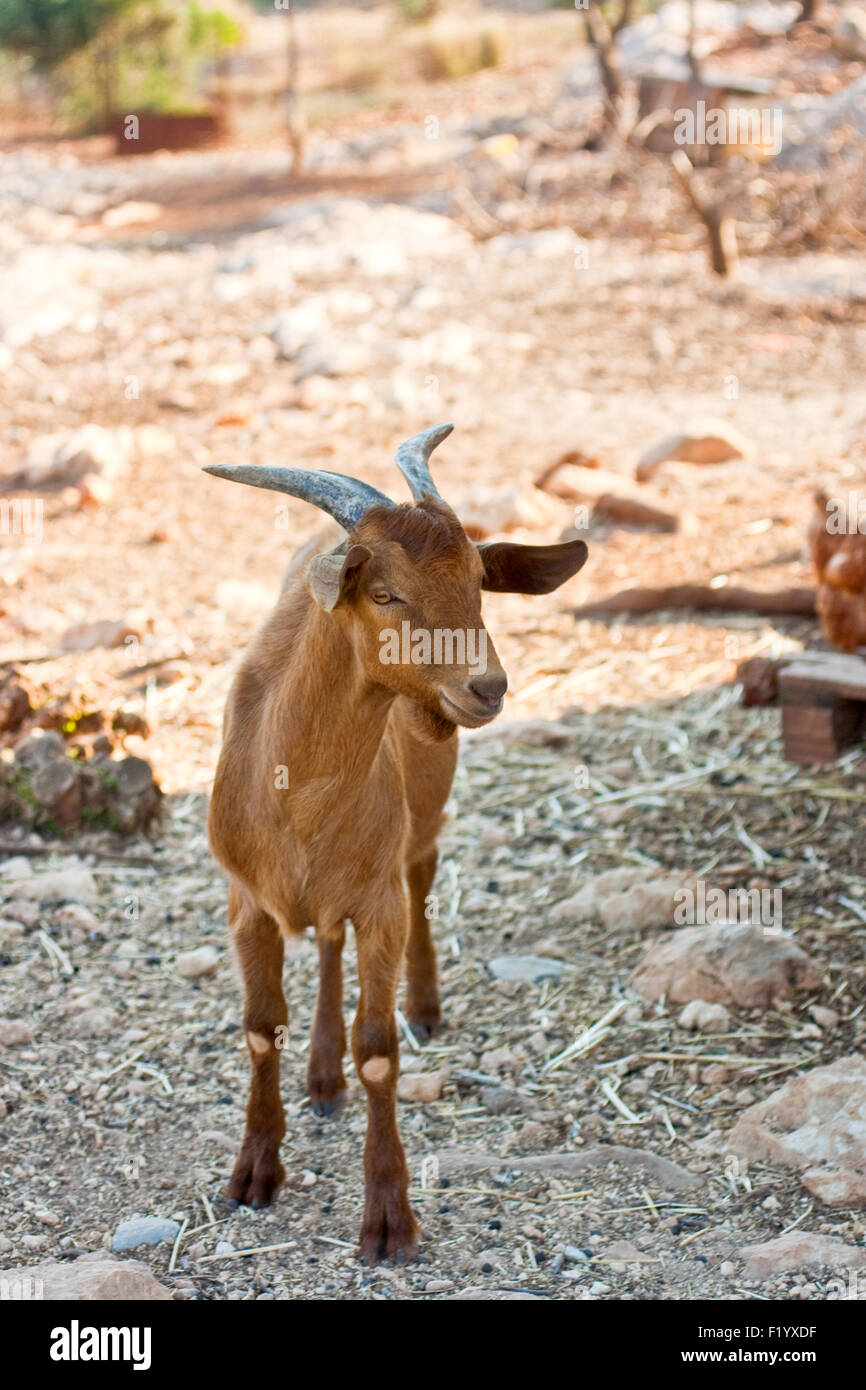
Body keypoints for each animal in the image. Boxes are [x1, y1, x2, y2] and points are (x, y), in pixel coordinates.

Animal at [204, 425, 589, 1263]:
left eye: (479, 581)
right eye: (383, 593)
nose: (486, 687)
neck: (292, 789)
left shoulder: (378, 898)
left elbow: (377, 1045)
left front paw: (388, 1219)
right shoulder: (246, 901)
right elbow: (259, 1028)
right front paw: (253, 1174)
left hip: (420, 830)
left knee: (416, 887)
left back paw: (424, 1007)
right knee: (323, 940)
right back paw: (321, 1079)